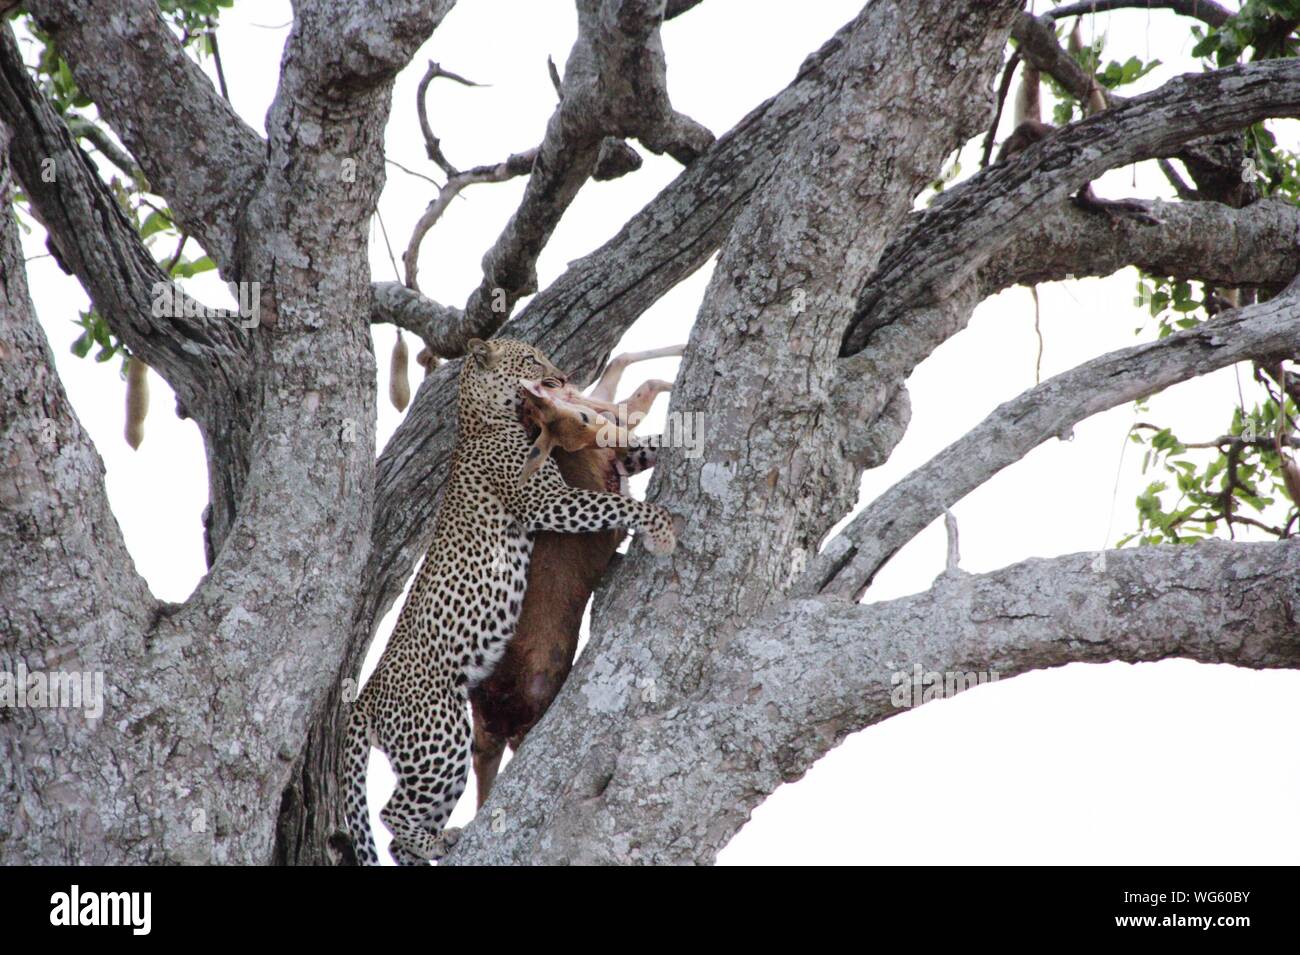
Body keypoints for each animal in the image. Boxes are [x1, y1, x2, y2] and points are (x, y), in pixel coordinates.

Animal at [342, 337, 676, 866]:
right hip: (442, 734)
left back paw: (441, 844)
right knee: (393, 814)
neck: (482, 419)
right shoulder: (550, 502)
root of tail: (365, 700)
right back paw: (439, 838)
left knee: (400, 831)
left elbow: (647, 448)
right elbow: (617, 503)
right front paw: (660, 530)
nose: (563, 377)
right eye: (533, 360)